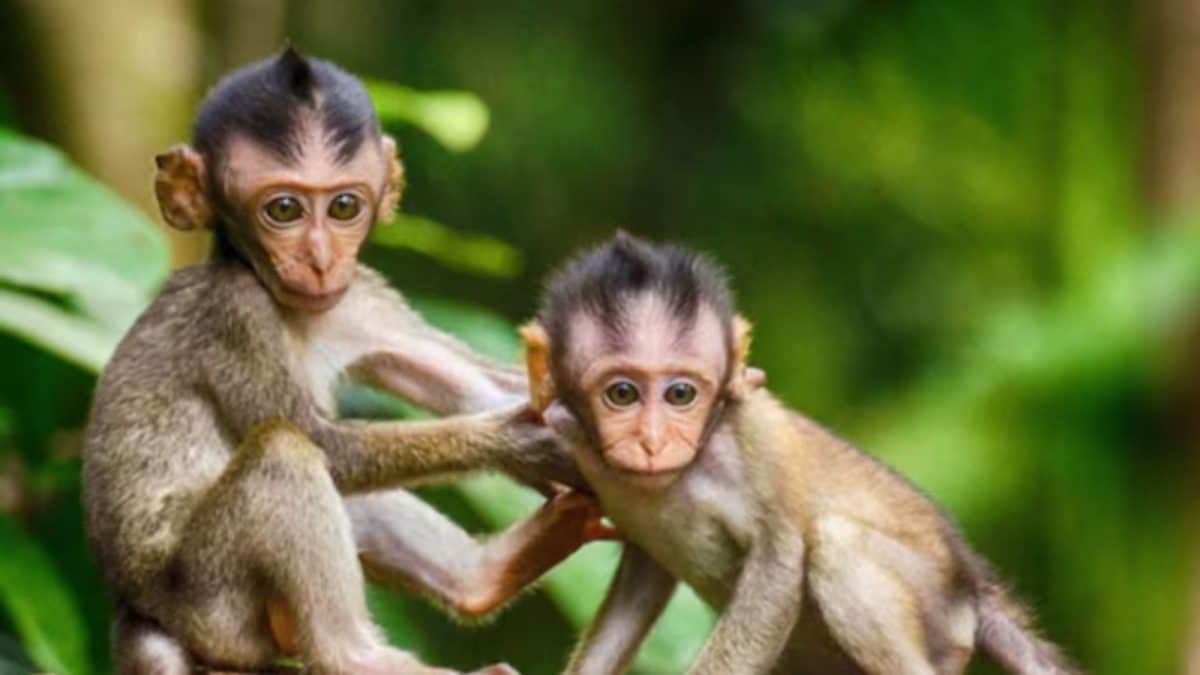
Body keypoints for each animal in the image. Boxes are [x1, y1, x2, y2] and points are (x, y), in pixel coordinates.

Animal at [83, 48, 602, 675]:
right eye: (283, 209)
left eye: (344, 206)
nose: (321, 259)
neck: (292, 310)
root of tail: (137, 611)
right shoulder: (236, 313)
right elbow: (324, 442)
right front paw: (518, 442)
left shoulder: (362, 298)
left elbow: (474, 386)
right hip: (212, 602)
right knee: (286, 453)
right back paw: (355, 655)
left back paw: (482, 579)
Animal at [519, 233, 1079, 675]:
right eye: (622, 394)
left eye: (681, 394)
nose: (653, 442)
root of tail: (971, 586)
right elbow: (643, 577)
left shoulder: (753, 437)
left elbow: (778, 564)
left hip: (936, 611)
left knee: (837, 544)